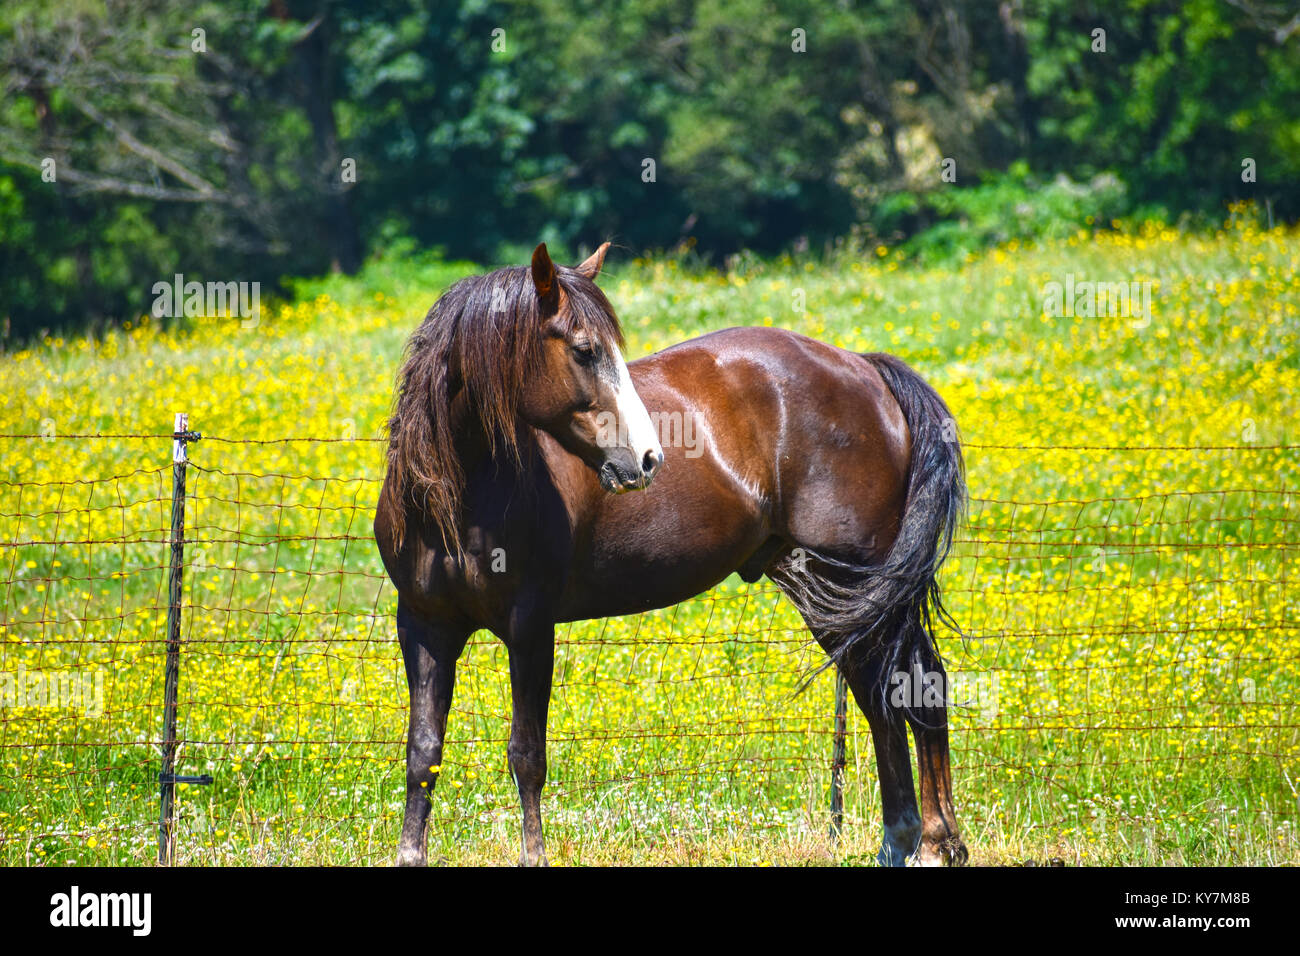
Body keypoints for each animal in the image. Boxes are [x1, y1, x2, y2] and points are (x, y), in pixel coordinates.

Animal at [374, 242, 968, 867]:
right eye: (584, 350)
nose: (648, 458)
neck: (463, 493)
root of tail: (864, 368)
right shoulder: (424, 626)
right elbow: (422, 752)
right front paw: (410, 853)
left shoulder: (530, 626)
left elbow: (526, 754)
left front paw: (534, 855)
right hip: (830, 595)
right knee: (880, 698)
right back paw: (901, 840)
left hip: (860, 584)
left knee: (918, 684)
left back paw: (935, 842)